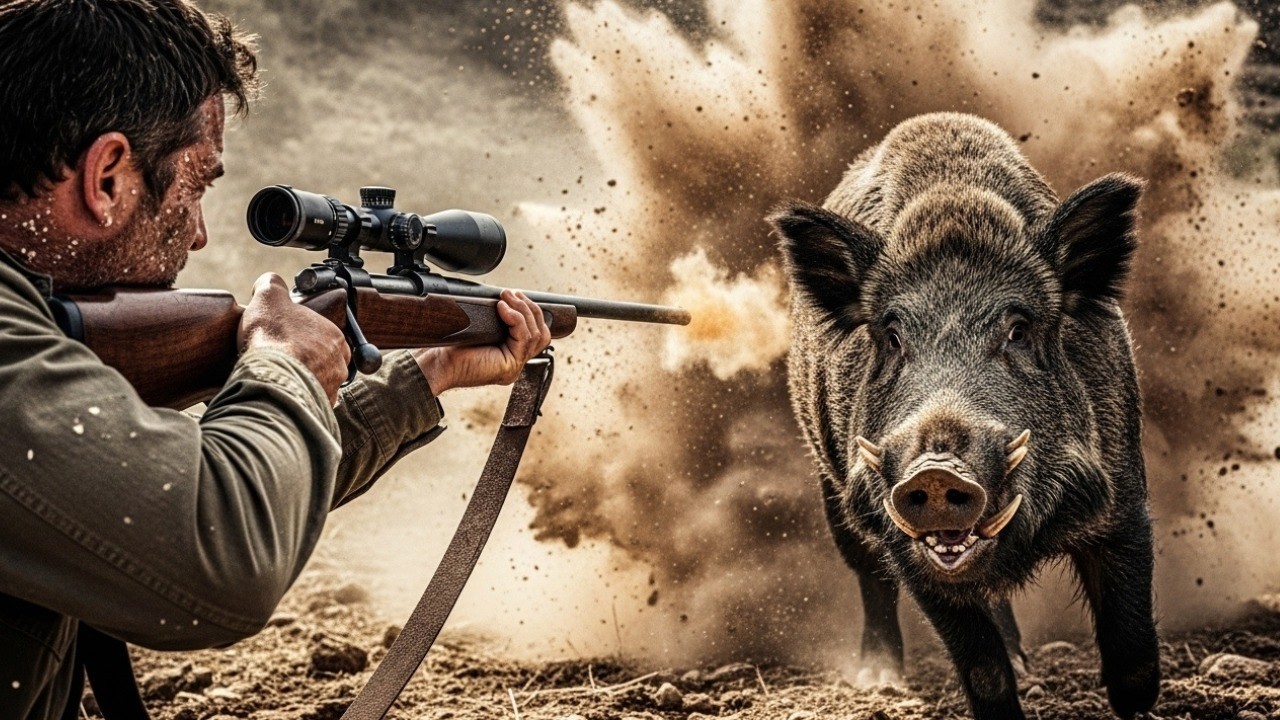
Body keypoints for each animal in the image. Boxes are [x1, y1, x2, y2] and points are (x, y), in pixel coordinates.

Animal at [768, 112, 1159, 720]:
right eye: (891, 336)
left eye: (1019, 330)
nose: (934, 470)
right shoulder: (898, 534)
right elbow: (982, 670)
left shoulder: (1125, 503)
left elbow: (1134, 660)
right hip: (832, 490)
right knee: (869, 577)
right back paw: (879, 681)